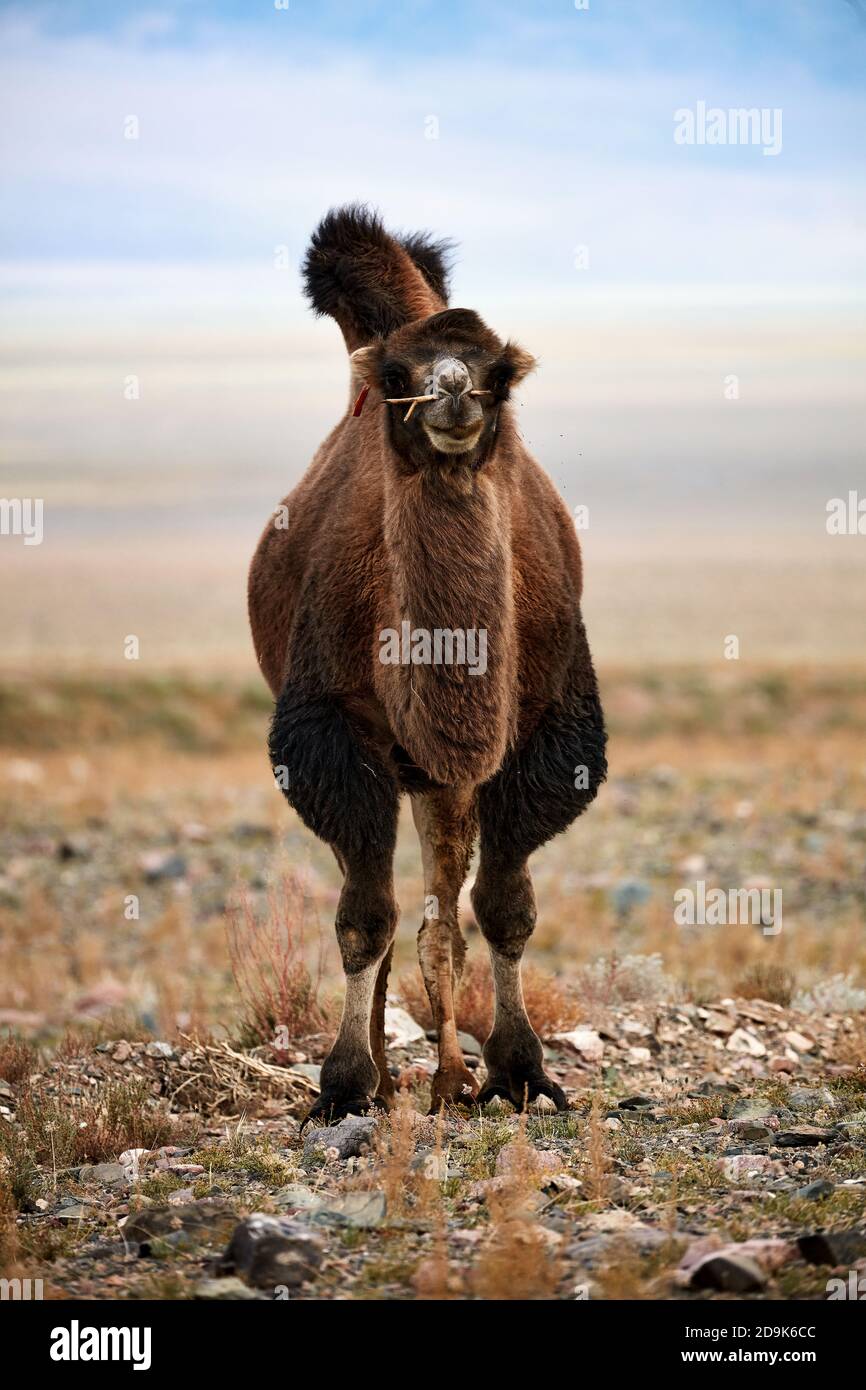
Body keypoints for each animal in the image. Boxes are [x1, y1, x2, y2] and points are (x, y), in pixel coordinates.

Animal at [248, 206, 607, 1120]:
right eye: (398, 373)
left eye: (500, 374)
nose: (452, 393)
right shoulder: (333, 735)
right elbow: (362, 917)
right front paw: (343, 1083)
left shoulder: (541, 733)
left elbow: (504, 907)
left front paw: (522, 1070)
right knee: (391, 902)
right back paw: (392, 1073)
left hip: (442, 776)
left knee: (443, 903)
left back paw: (450, 1075)